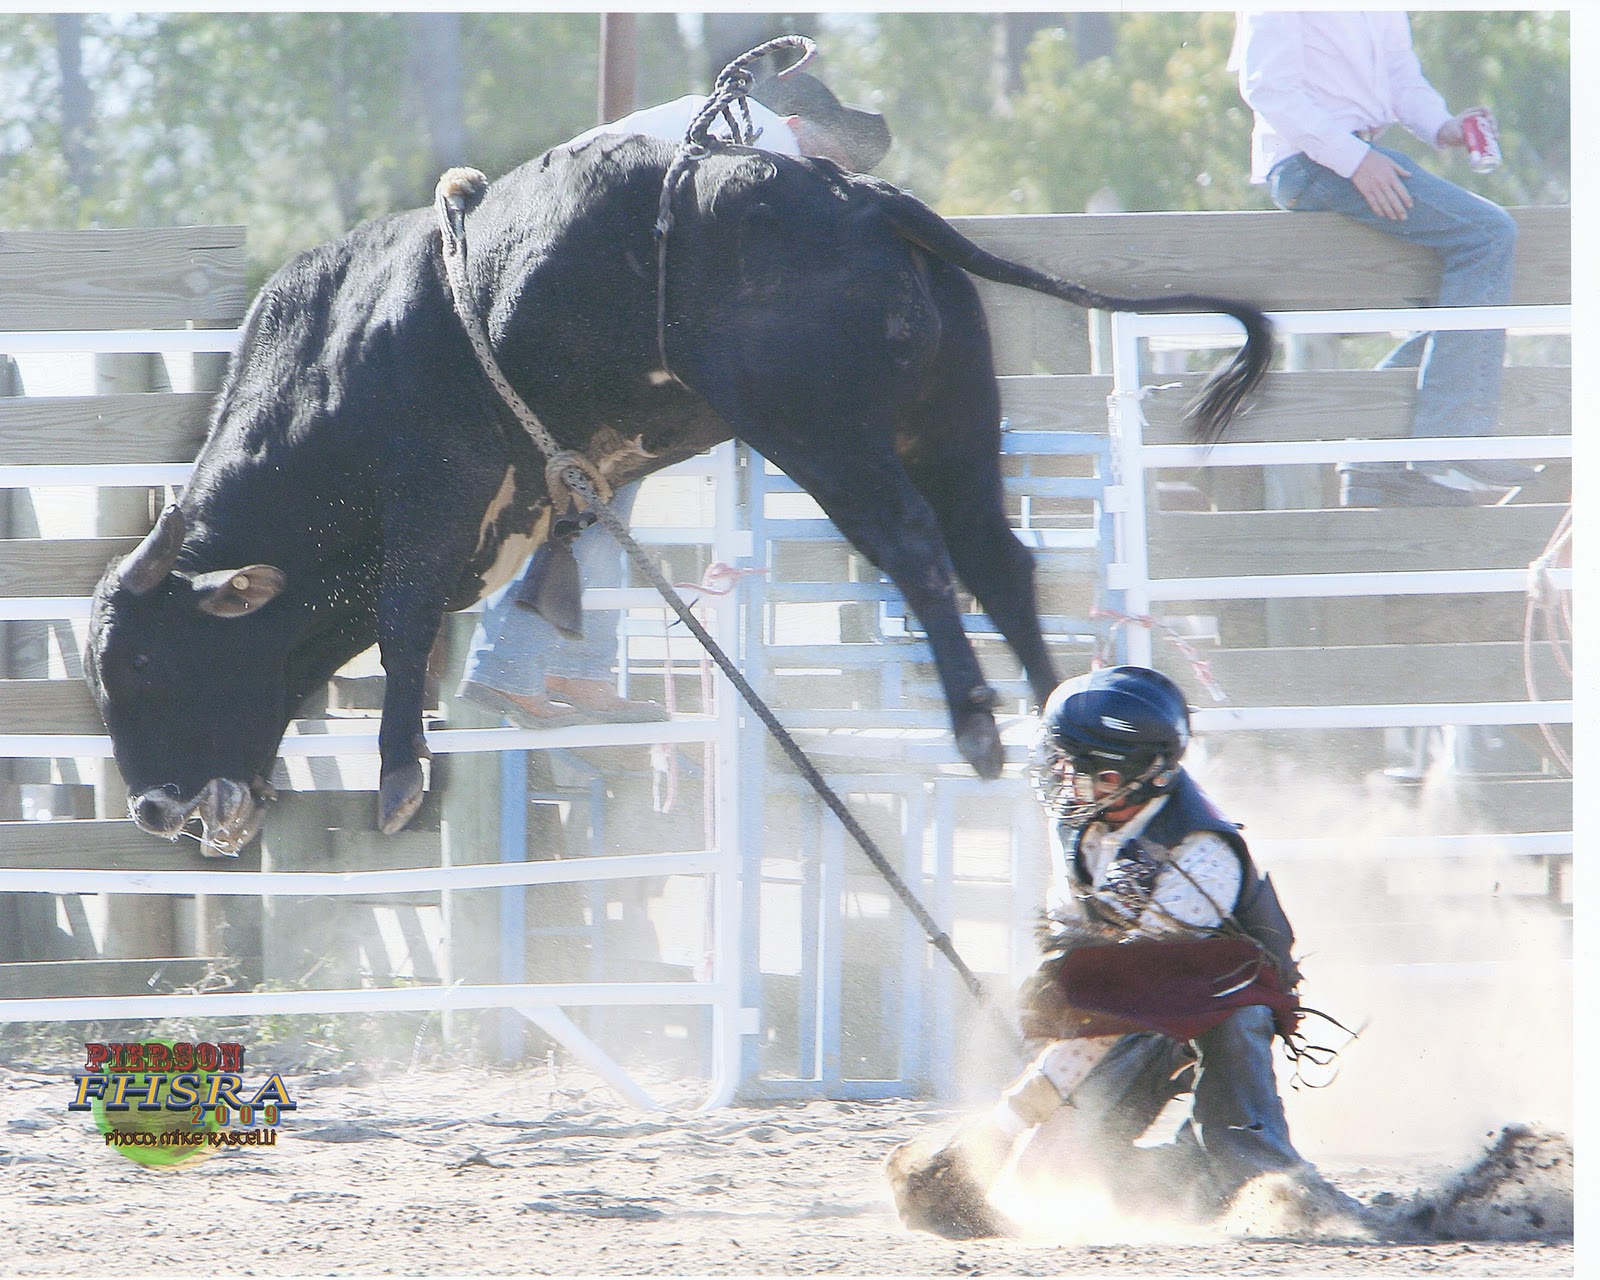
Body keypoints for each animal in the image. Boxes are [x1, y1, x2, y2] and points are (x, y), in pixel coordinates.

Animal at [84, 134, 1271, 856]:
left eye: (142, 663)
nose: (151, 806)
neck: (343, 359)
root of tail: (865, 201)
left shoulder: (433, 488)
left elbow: (404, 615)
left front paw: (399, 777)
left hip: (825, 433)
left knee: (916, 547)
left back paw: (979, 725)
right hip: (946, 422)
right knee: (995, 558)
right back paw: (1053, 728)